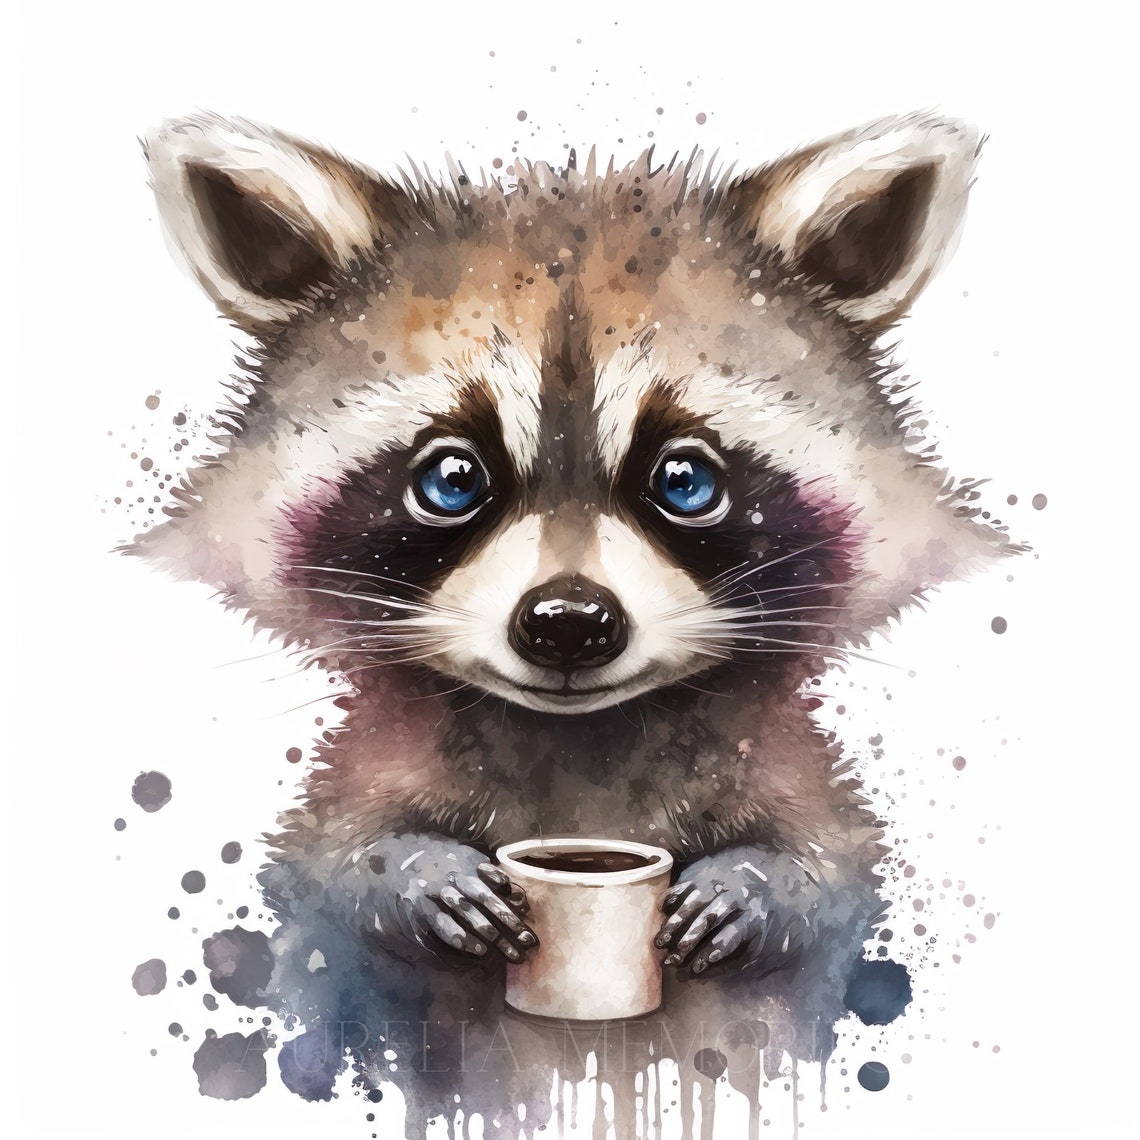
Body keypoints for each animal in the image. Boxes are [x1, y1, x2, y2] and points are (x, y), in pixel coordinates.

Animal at [133, 111, 1009, 1121]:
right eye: (452, 478)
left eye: (685, 479)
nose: (566, 621)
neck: (581, 736)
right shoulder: (369, 765)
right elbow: (317, 873)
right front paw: (409, 871)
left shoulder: (783, 759)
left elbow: (843, 872)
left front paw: (762, 884)